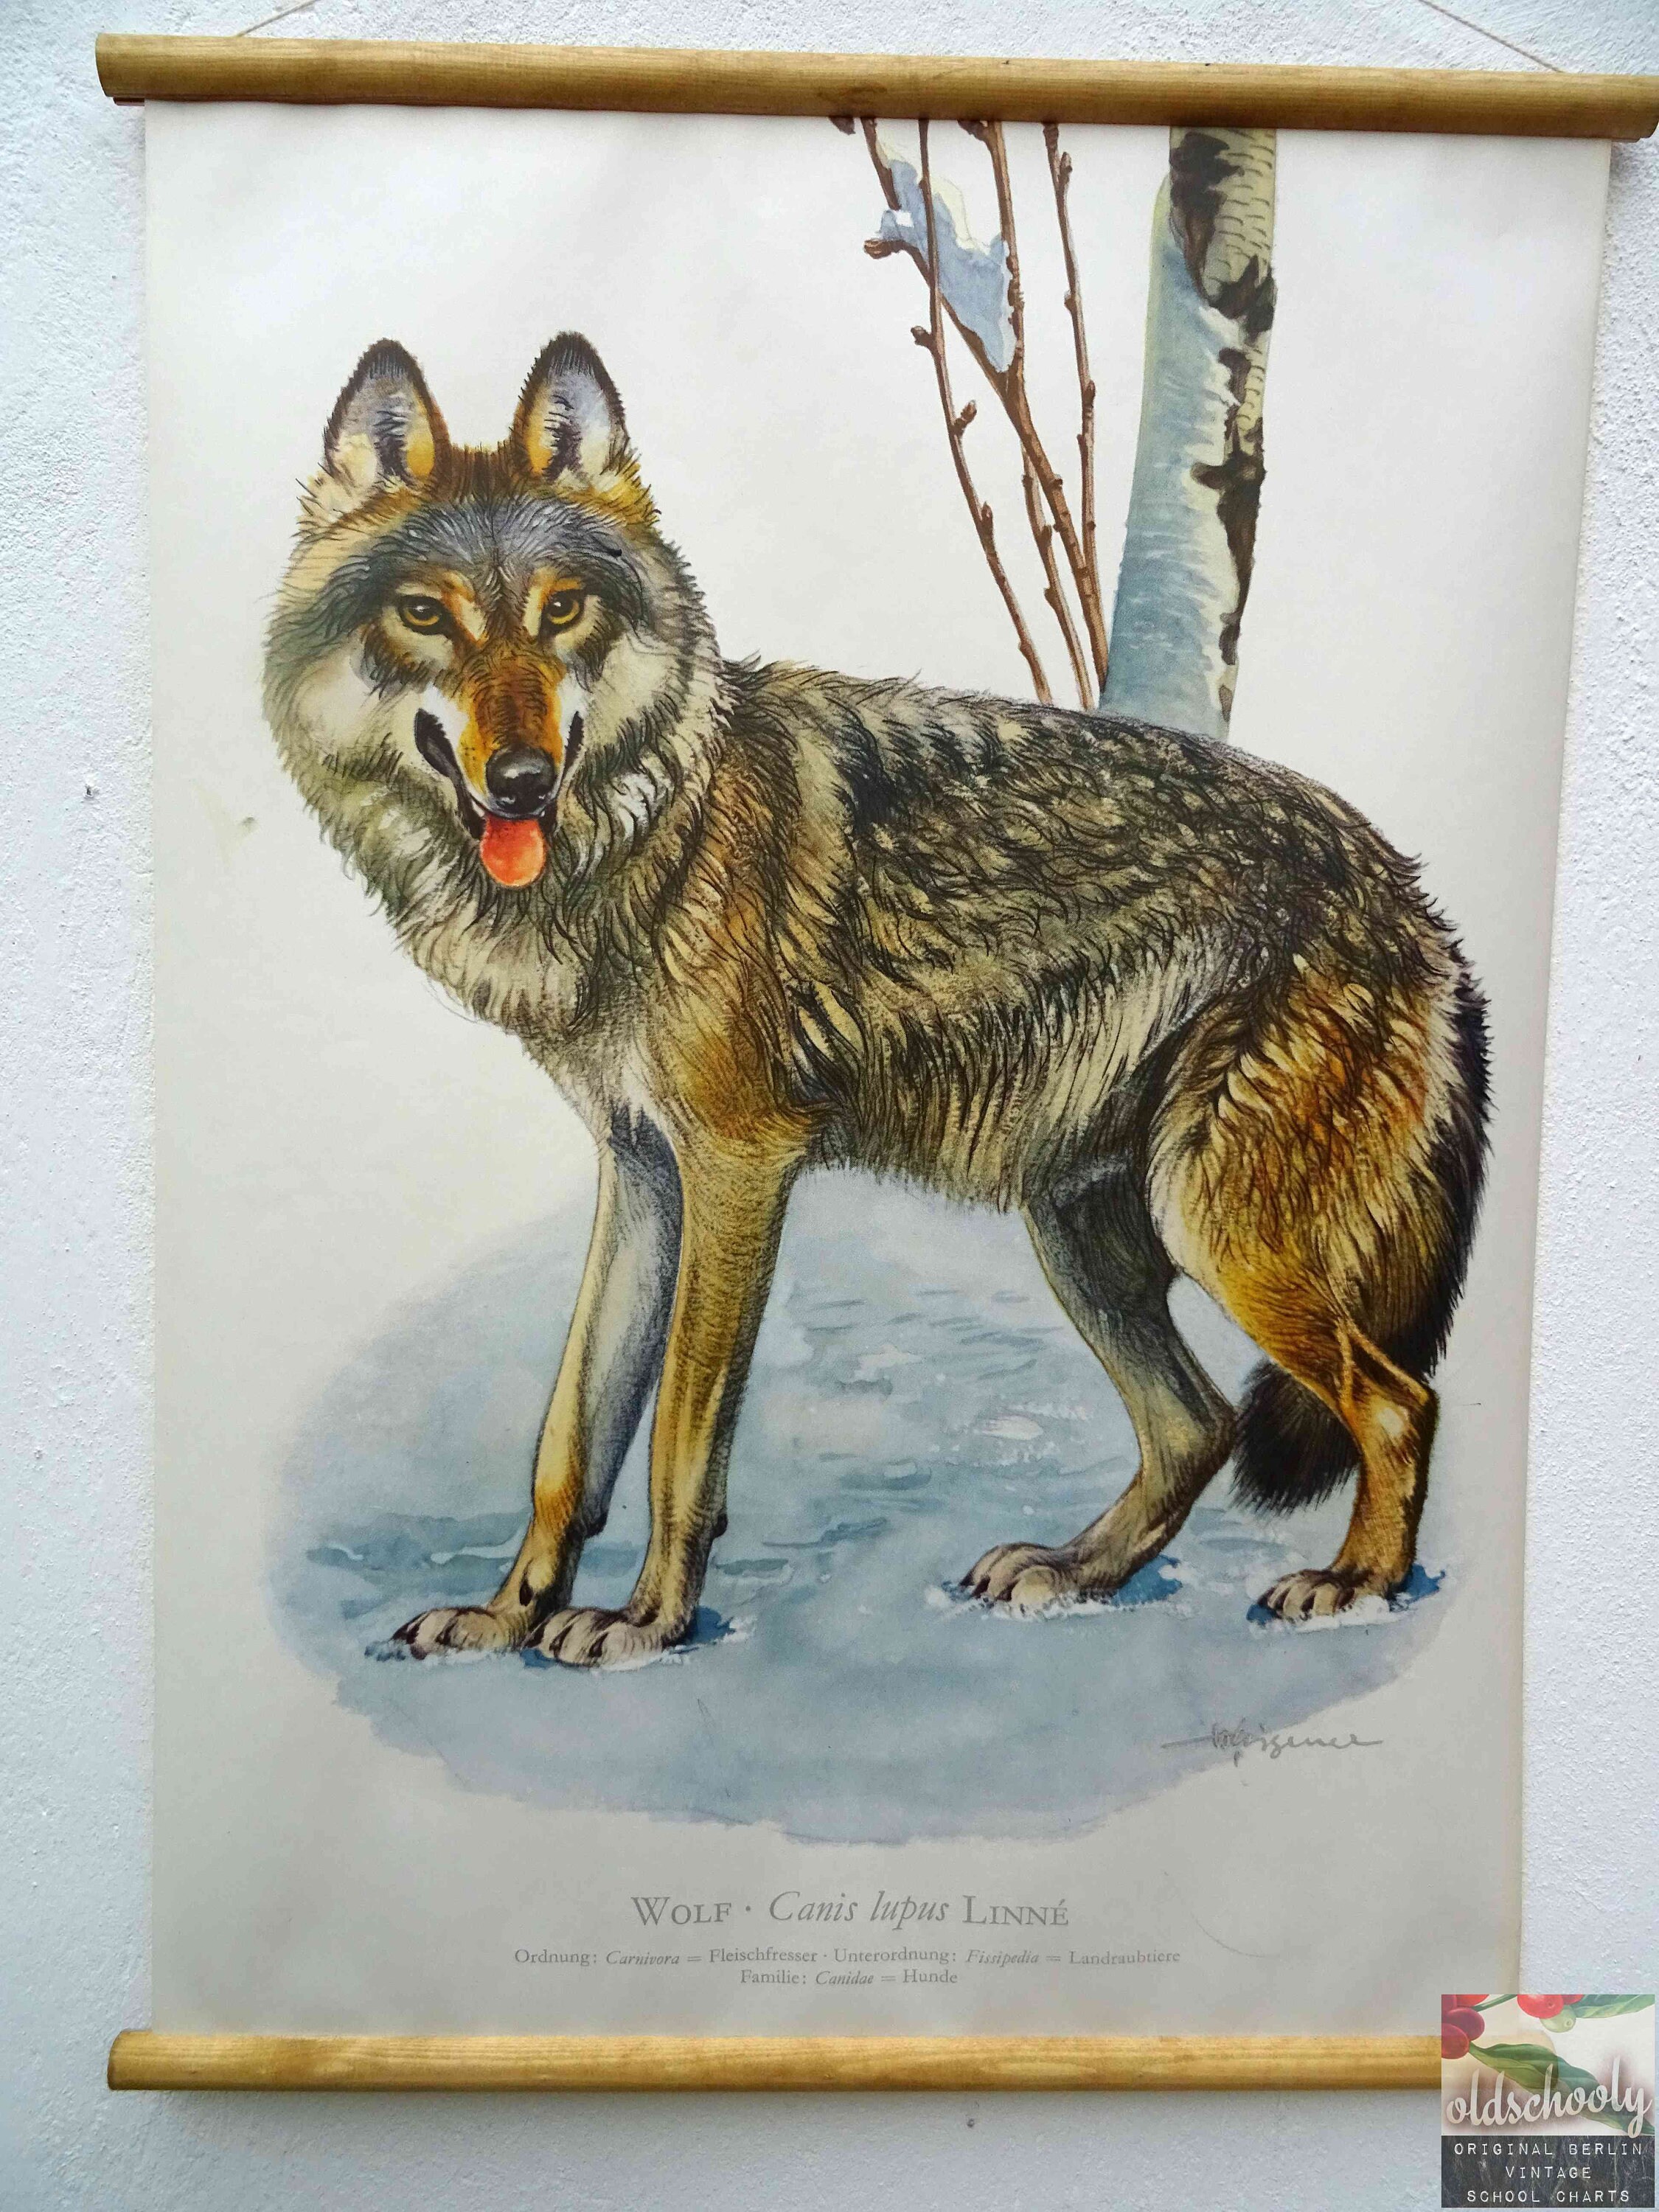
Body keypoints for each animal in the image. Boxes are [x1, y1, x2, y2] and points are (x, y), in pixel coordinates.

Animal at [263, 334, 1488, 1670]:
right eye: (426, 616)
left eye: (563, 611)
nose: (525, 780)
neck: (653, 833)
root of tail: (1412, 895)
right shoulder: (639, 1172)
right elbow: (571, 1440)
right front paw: (507, 1618)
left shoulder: (738, 1166)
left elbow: (680, 1438)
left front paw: (645, 1622)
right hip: (1086, 1233)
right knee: (1200, 1425)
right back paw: (1073, 1570)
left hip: (1216, 1228)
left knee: (1397, 1401)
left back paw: (1355, 1583)